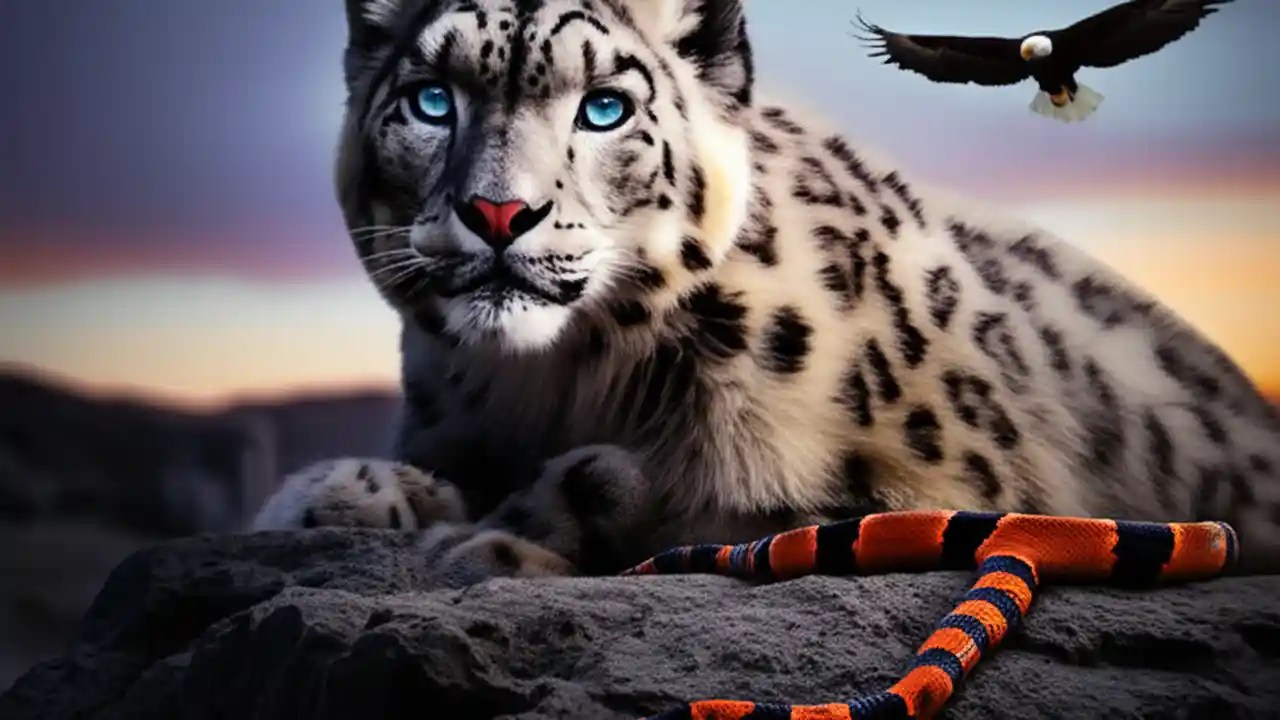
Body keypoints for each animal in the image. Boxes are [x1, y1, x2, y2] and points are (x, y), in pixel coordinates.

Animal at [251, 0, 1280, 585]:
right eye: (432, 99)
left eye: (604, 108)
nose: (500, 212)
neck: (559, 382)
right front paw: (344, 493)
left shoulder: (946, 484)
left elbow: (746, 514)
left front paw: (517, 531)